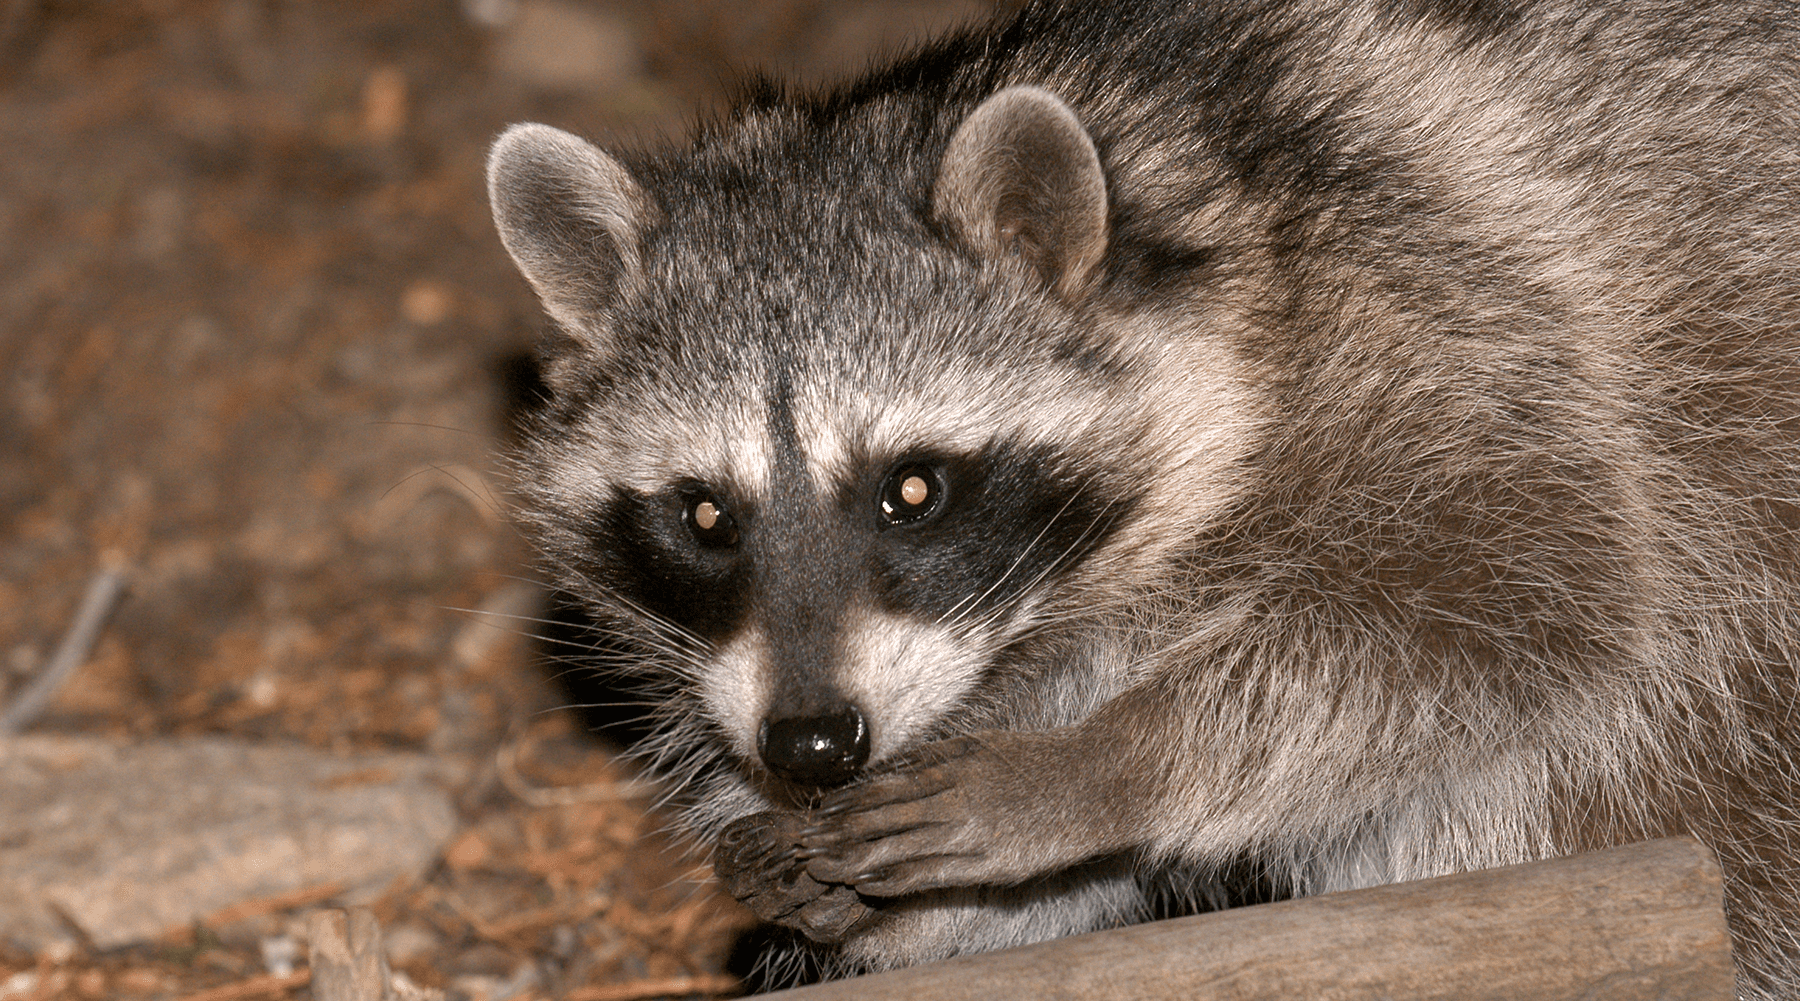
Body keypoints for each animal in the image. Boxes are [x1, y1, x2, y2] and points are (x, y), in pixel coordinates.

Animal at [486, 0, 1800, 993]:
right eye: (707, 515)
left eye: (913, 490)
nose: (811, 743)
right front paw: (875, 900)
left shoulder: (1449, 315)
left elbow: (1517, 595)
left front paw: (1098, 763)